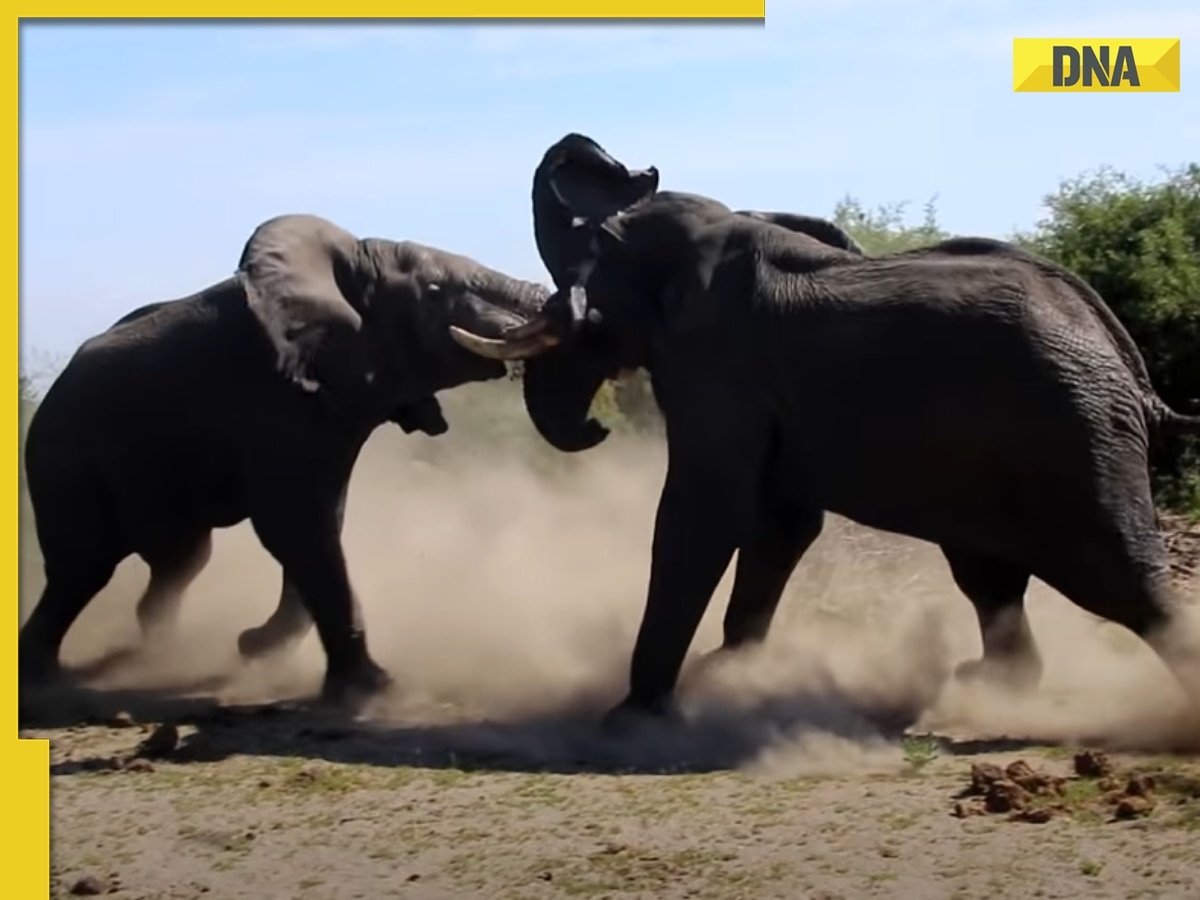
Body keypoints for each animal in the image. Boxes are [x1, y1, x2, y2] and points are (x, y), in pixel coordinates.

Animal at [19, 212, 557, 705]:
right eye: (434, 289)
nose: (245, 640)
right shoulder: (274, 401)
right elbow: (296, 526)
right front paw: (373, 691)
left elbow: (322, 523)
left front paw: (254, 648)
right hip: (63, 460)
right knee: (82, 568)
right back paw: (44, 679)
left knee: (180, 561)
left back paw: (156, 655)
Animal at [449, 133, 1200, 730]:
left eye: (580, 260)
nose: (594, 428)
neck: (713, 228)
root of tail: (1125, 359)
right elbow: (779, 524)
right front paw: (728, 677)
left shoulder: (716, 365)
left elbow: (703, 514)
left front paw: (632, 717)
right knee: (990, 577)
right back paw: (983, 686)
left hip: (1072, 443)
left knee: (1117, 579)